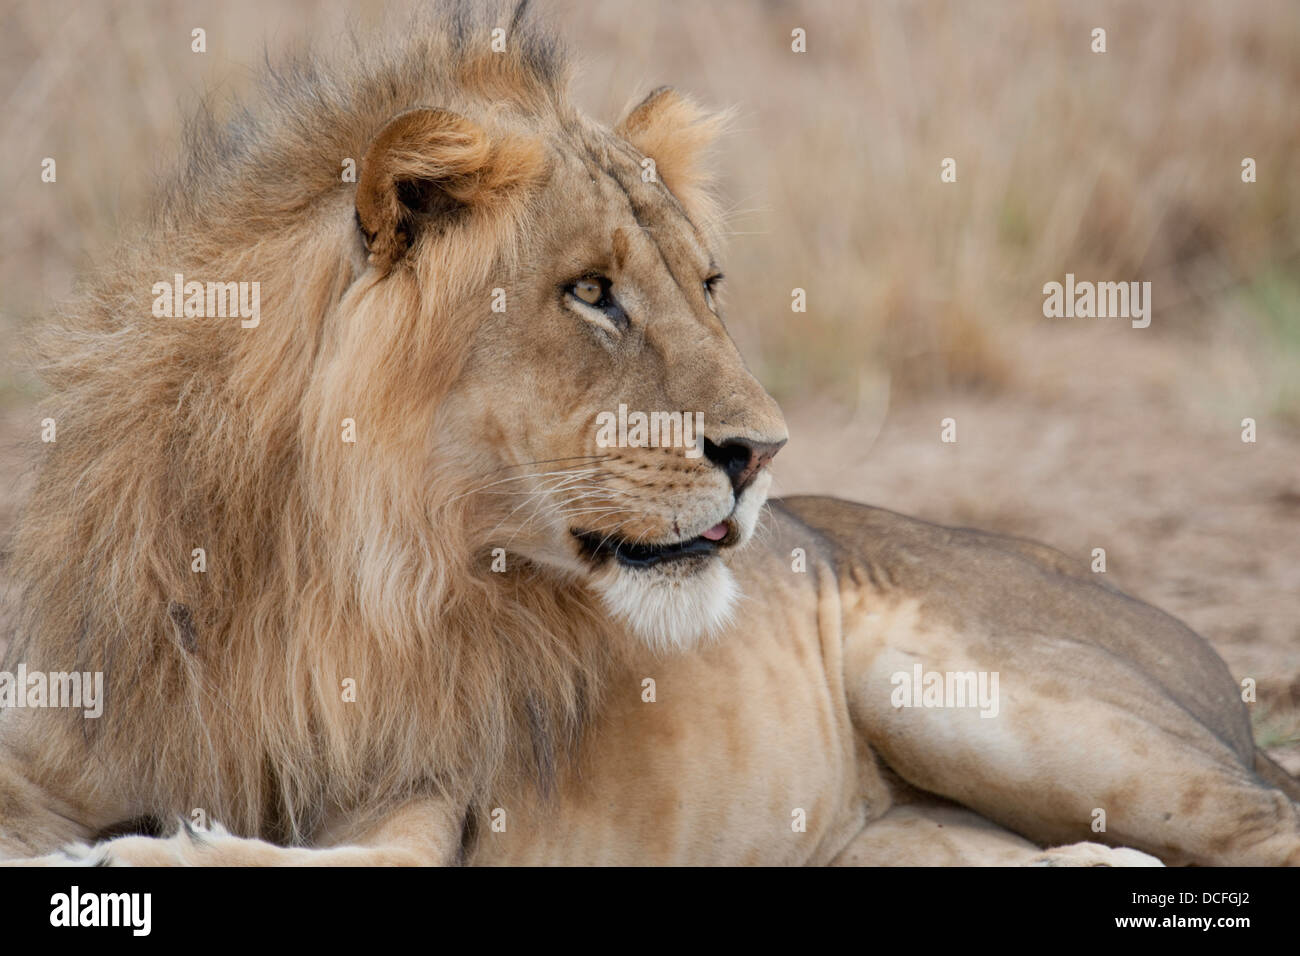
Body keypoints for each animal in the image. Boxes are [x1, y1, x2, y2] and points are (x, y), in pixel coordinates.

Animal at [1, 2, 1297, 867]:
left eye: (704, 283)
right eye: (592, 293)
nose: (762, 454)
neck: (315, 563)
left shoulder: (426, 808)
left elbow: (276, 857)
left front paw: (144, 849)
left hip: (976, 689)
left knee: (1255, 825)